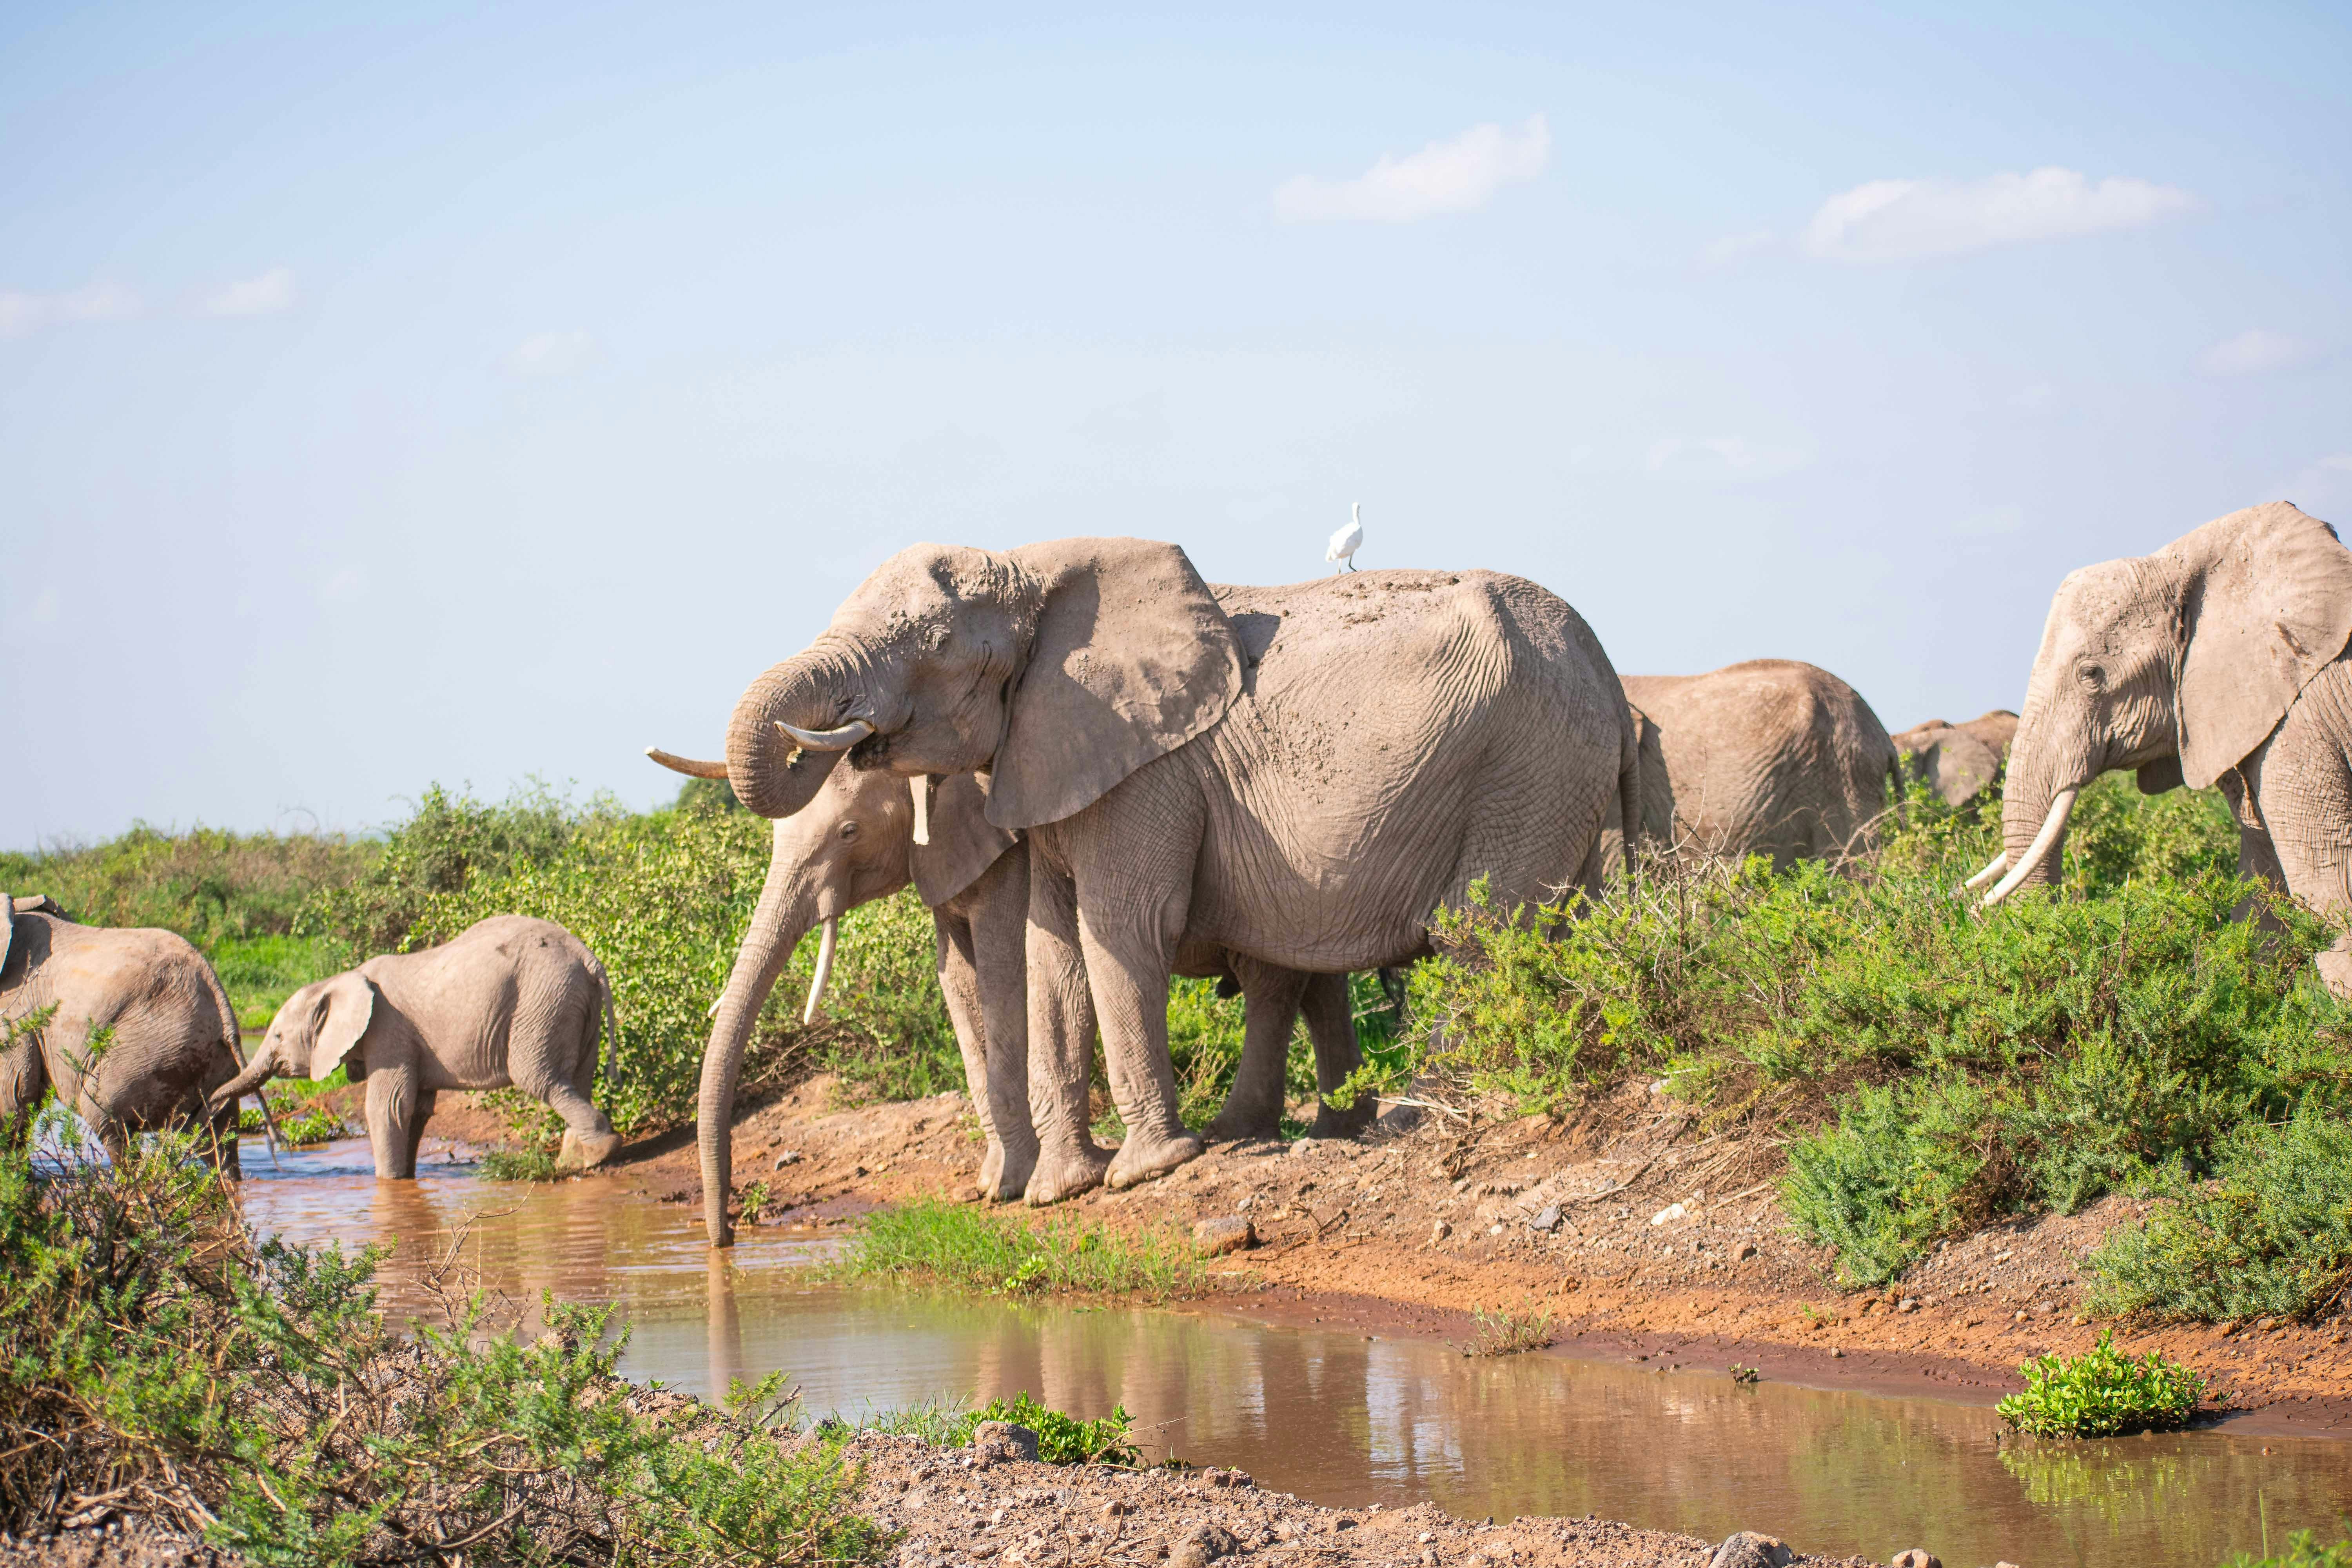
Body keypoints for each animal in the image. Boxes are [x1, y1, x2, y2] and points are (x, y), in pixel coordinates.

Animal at [209, 915, 620, 1179]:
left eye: (278, 1037)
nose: (278, 1148)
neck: (340, 979)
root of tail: (588, 957)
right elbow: (417, 1110)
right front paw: (405, 1178)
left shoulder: (387, 1030)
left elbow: (387, 1106)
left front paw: (388, 1184)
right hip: (571, 1002)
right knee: (579, 1075)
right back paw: (578, 1161)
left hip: (543, 1000)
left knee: (538, 1076)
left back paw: (600, 1151)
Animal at [643, 744, 1368, 1239]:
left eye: (848, 833)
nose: (725, 1237)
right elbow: (957, 981)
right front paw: (991, 1186)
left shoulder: (1009, 855)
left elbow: (1001, 969)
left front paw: (1016, 1186)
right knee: (1316, 980)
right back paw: (1342, 1128)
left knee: (1275, 980)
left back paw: (1254, 1130)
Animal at [708, 539, 1635, 1222]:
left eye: (936, 646)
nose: (726, 1232)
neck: (1034, 568)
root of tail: (1609, 669)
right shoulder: (1056, 762)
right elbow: (1055, 953)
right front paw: (1062, 1191)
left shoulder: (1147, 772)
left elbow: (1122, 929)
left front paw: (1145, 1172)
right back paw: (1275, 1130)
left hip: (1531, 760)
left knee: (1475, 934)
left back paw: (1414, 1121)